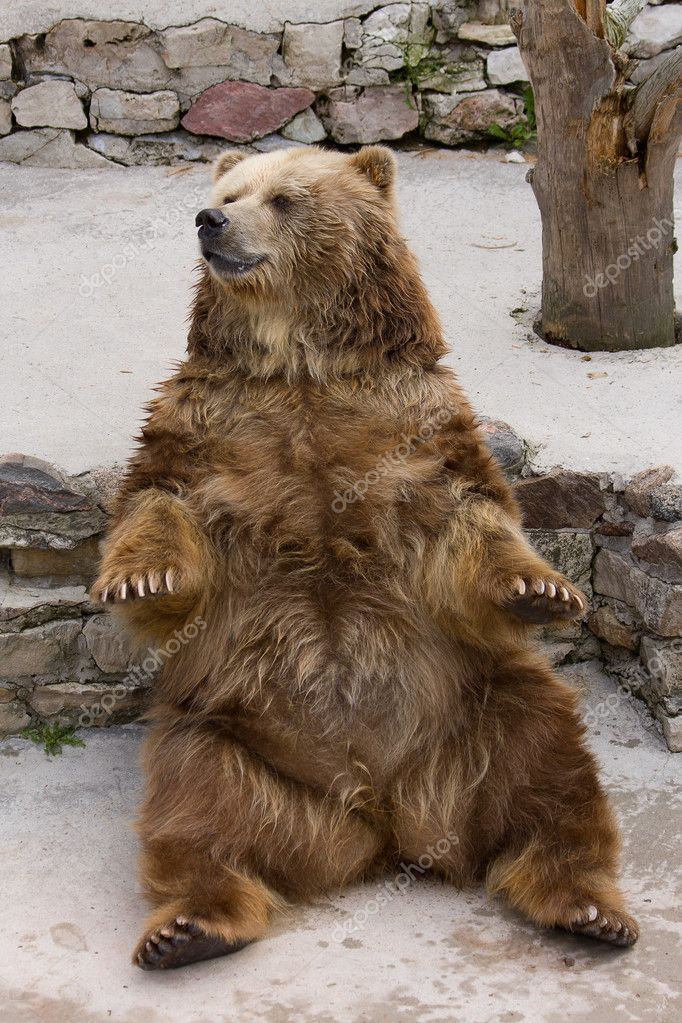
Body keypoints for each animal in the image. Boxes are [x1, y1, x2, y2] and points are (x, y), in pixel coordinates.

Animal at [91, 144, 638, 970]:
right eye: (229, 191)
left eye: (283, 198)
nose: (209, 220)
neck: (301, 362)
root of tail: (379, 820)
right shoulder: (207, 425)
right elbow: (157, 502)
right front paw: (140, 574)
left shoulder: (412, 421)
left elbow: (474, 515)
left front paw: (543, 589)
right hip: (227, 730)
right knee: (195, 803)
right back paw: (189, 925)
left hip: (481, 704)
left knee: (551, 764)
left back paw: (588, 905)